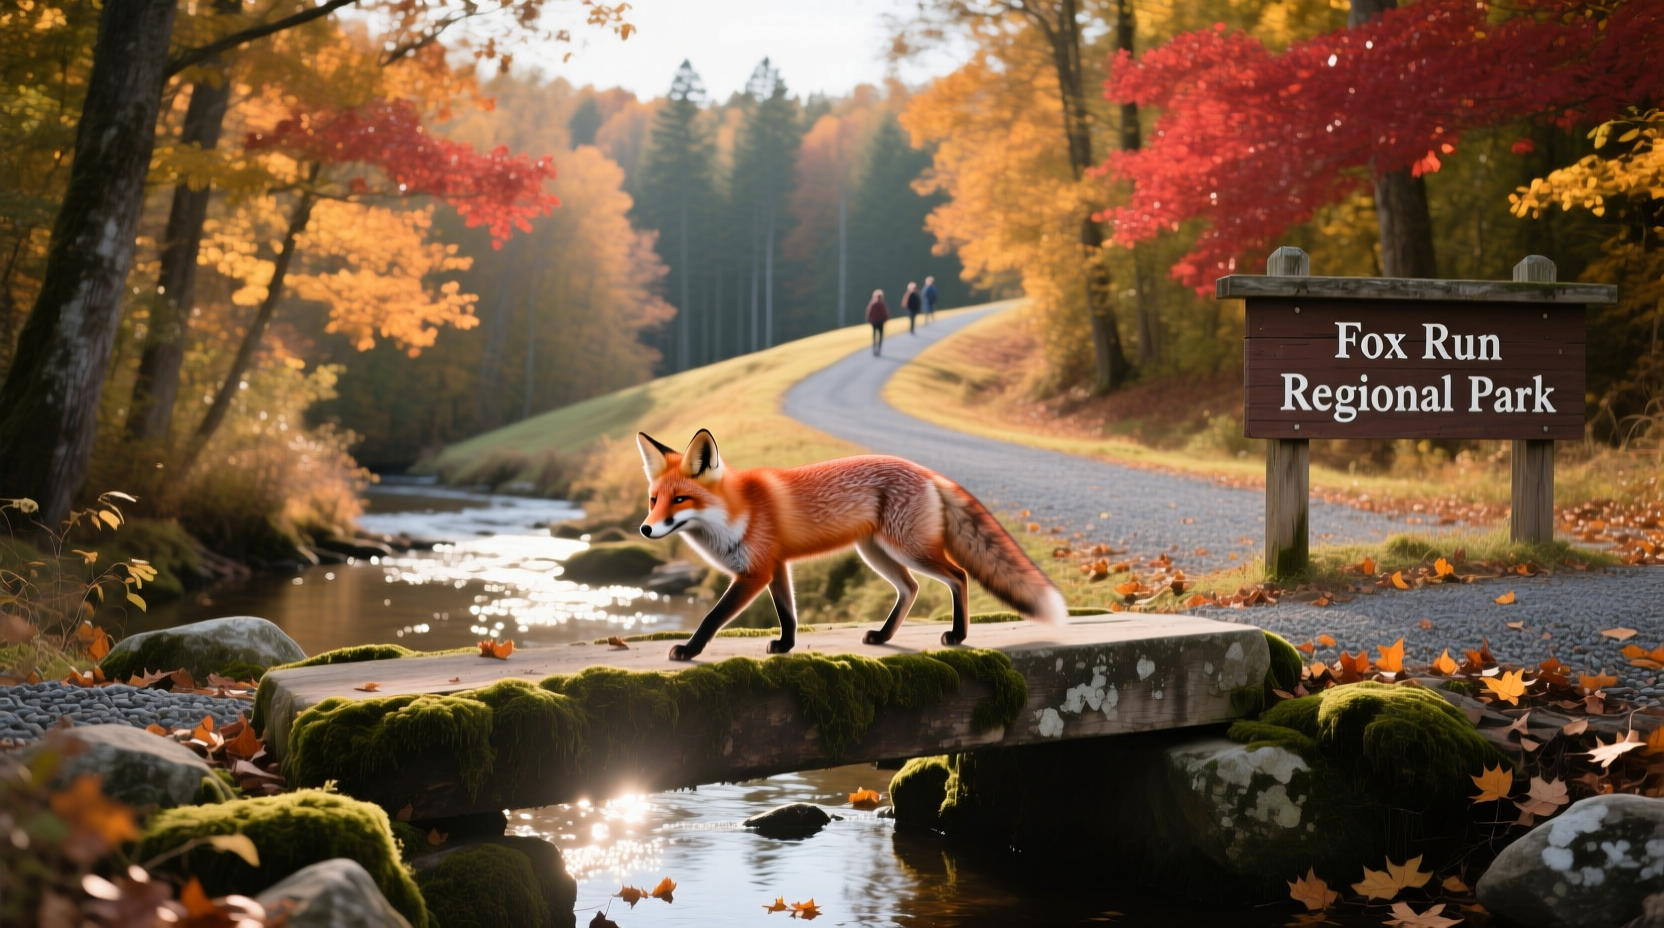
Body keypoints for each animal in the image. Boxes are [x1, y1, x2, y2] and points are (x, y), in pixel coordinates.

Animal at [635, 429, 1066, 661]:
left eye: (680, 500)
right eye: (654, 500)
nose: (645, 529)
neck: (737, 511)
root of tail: (927, 470)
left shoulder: (755, 572)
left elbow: (712, 617)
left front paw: (689, 650)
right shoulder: (777, 566)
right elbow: (788, 614)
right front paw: (786, 646)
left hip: (909, 550)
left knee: (958, 576)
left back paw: (957, 635)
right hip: (877, 553)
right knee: (911, 588)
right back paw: (884, 636)